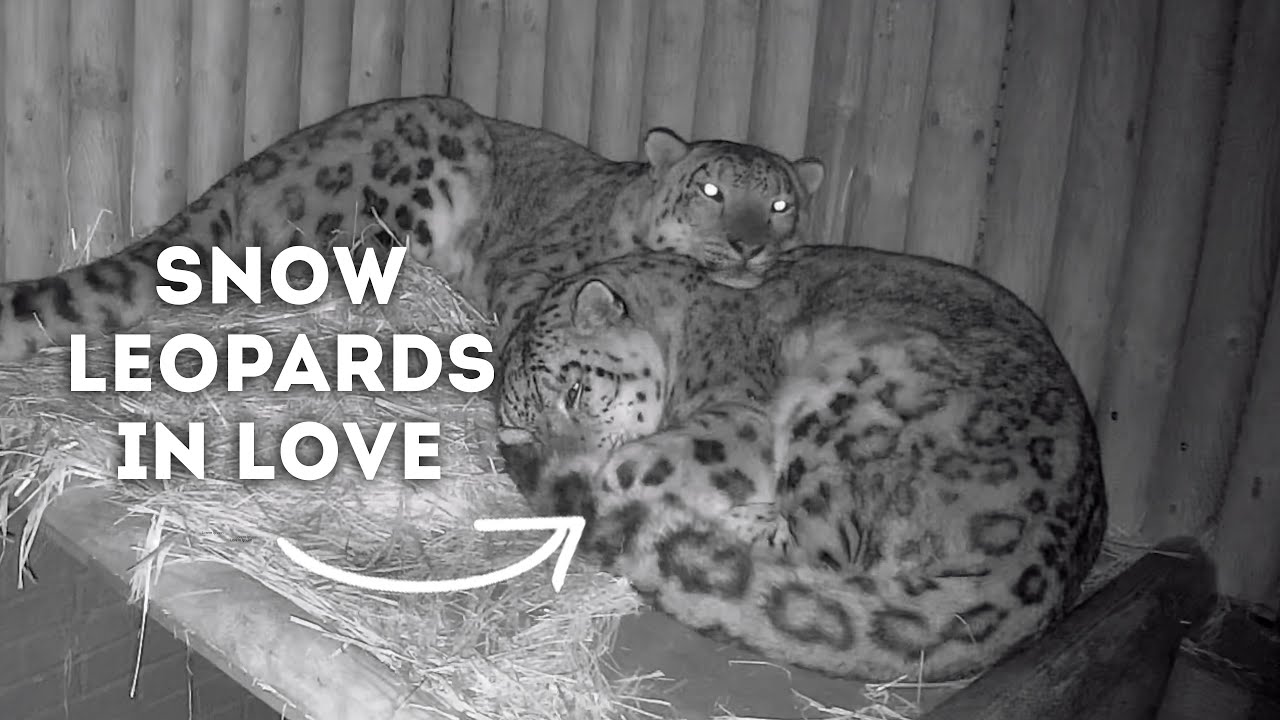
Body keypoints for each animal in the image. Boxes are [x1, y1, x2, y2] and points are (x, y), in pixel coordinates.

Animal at [495, 245, 1107, 682]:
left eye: (574, 390)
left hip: (846, 405)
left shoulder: (740, 416)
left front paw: (611, 477)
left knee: (822, 547)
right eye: (527, 427)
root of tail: (1044, 557)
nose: (566, 458)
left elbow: (641, 462)